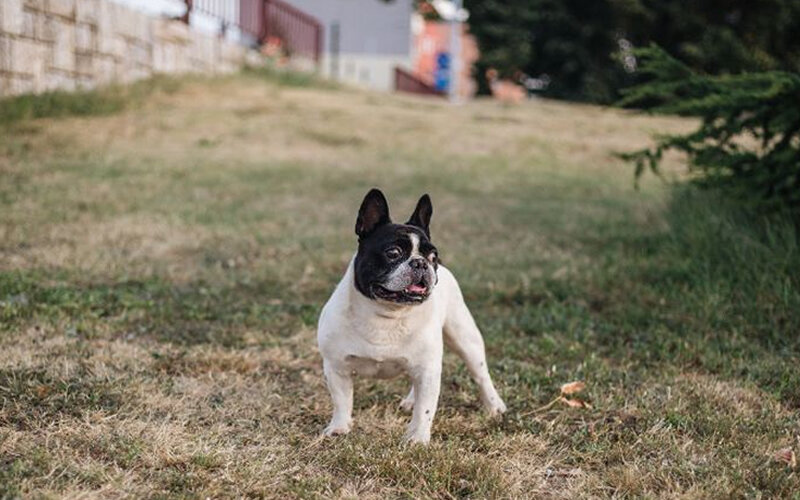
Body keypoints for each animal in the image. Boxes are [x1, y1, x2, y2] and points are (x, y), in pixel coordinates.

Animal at [314, 189, 506, 444]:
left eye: (433, 256)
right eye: (393, 253)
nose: (421, 263)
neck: (386, 314)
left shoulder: (428, 368)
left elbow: (426, 409)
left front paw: (417, 438)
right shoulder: (336, 367)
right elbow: (342, 401)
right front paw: (339, 427)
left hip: (465, 338)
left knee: (480, 374)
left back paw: (494, 406)